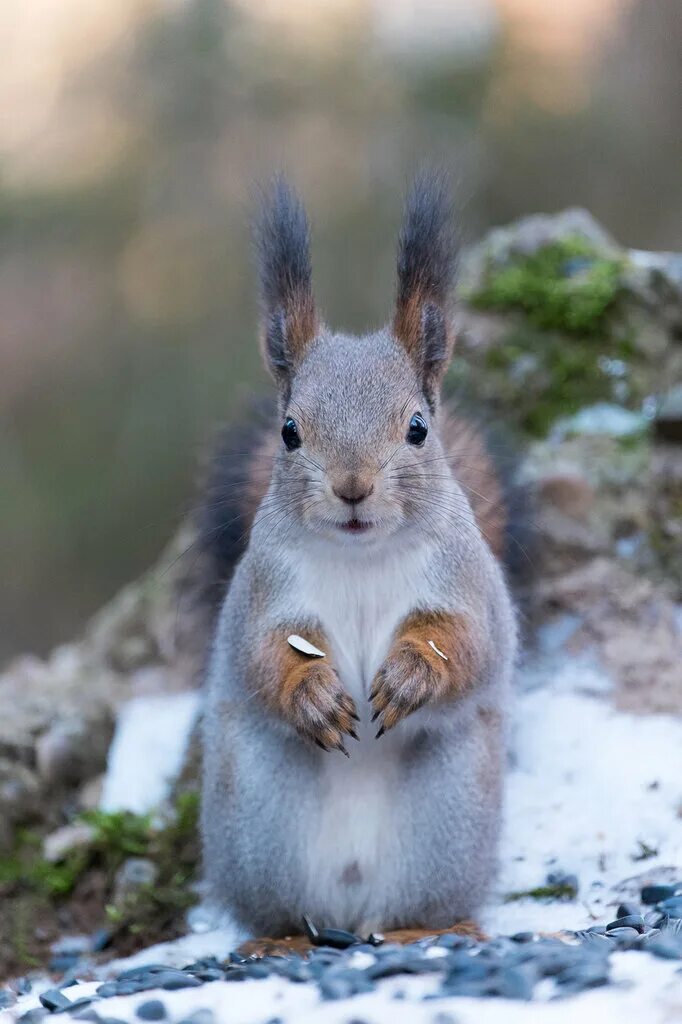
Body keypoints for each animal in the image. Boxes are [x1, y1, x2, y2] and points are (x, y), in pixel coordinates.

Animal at [199, 172, 518, 941]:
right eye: (289, 431)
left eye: (418, 427)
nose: (352, 487)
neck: (363, 556)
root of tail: (350, 906)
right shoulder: (264, 592)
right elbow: (260, 656)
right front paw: (310, 694)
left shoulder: (467, 584)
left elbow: (473, 643)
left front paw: (414, 673)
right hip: (260, 818)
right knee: (281, 913)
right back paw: (280, 943)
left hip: (449, 814)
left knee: (417, 906)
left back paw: (426, 930)